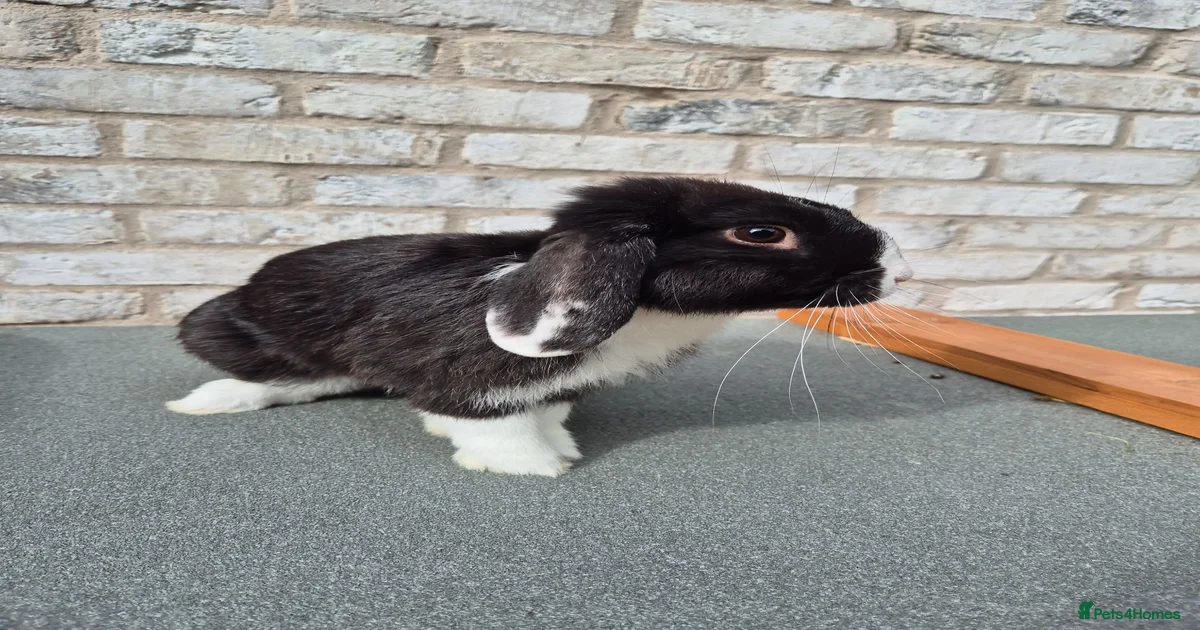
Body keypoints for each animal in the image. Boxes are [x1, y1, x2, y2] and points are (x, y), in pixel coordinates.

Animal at [167, 177, 913, 477]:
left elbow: (547, 410)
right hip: (251, 338)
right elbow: (494, 428)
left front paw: (562, 445)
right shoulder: (473, 383)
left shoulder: (553, 385)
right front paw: (537, 469)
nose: (896, 265)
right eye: (762, 233)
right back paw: (202, 403)